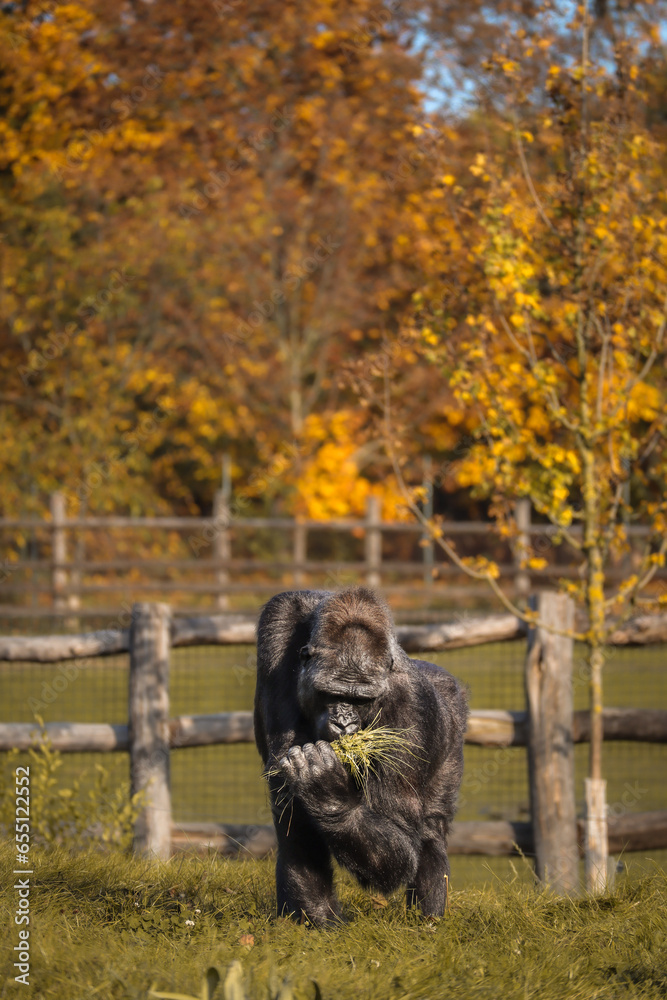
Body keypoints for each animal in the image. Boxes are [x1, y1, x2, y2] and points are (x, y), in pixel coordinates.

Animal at [254, 587, 468, 926]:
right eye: (332, 694)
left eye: (360, 700)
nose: (344, 722)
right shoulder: (278, 623)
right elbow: (293, 810)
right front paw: (315, 921)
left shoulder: (412, 710)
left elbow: (400, 842)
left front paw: (330, 795)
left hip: (452, 719)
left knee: (431, 830)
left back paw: (427, 923)